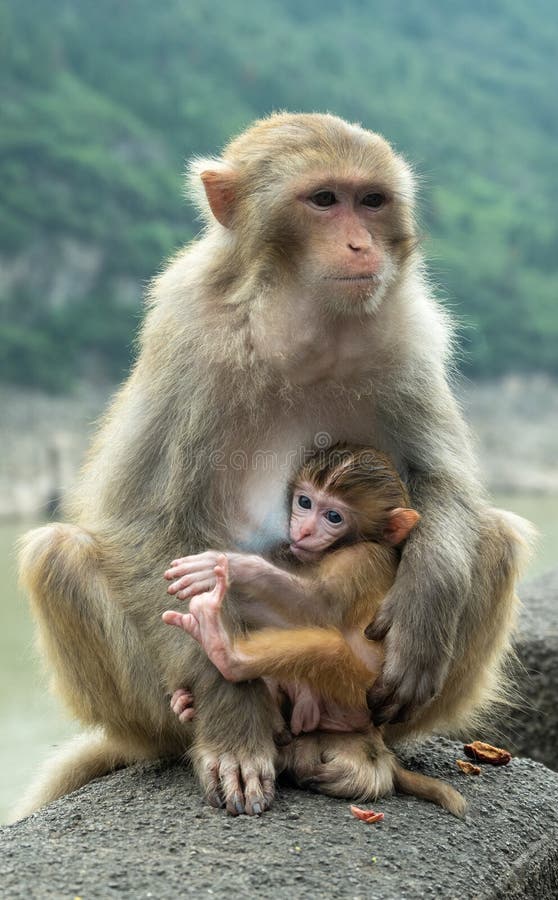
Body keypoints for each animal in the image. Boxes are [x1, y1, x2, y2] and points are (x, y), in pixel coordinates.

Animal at [15, 112, 533, 821]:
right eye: (325, 200)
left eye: (371, 200)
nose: (360, 245)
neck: (304, 329)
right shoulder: (187, 335)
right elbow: (149, 520)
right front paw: (232, 722)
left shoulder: (410, 338)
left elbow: (440, 481)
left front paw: (423, 612)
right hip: (150, 709)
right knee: (57, 554)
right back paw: (204, 714)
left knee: (497, 537)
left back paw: (354, 745)